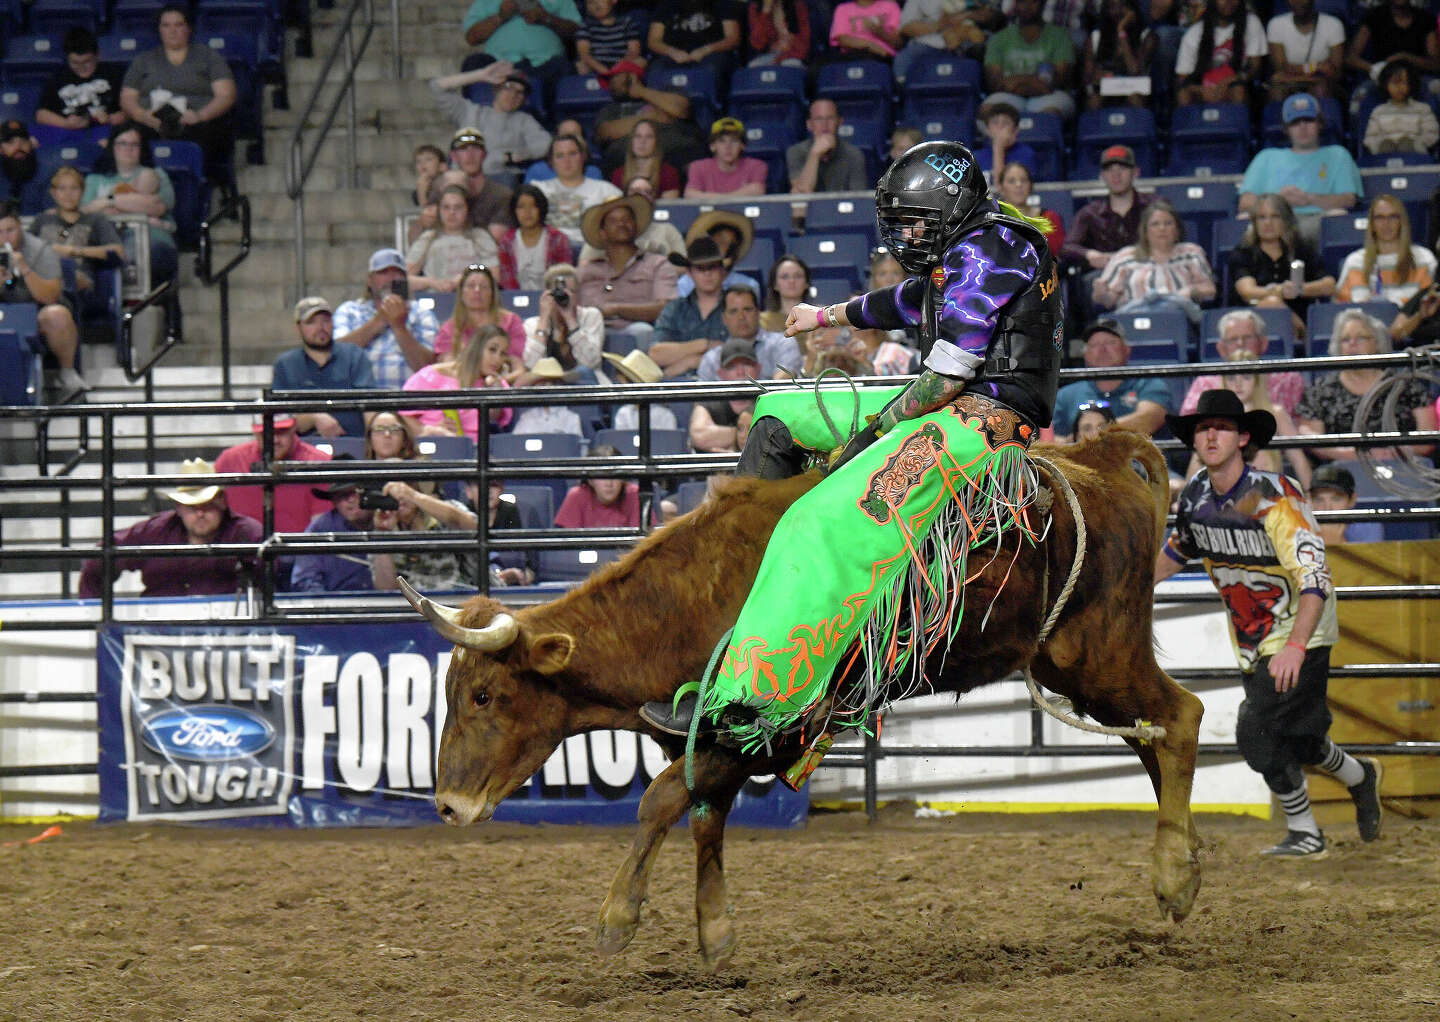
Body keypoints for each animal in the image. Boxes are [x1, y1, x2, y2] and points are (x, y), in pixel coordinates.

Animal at [401, 428, 1205, 969]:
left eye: (483, 694)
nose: (447, 805)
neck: (698, 595)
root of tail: (1099, 459)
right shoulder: (713, 738)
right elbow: (701, 817)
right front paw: (708, 931)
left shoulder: (757, 730)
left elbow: (664, 802)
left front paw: (626, 918)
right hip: (1085, 670)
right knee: (1154, 738)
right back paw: (1185, 866)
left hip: (1100, 654)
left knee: (1182, 719)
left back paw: (1174, 874)